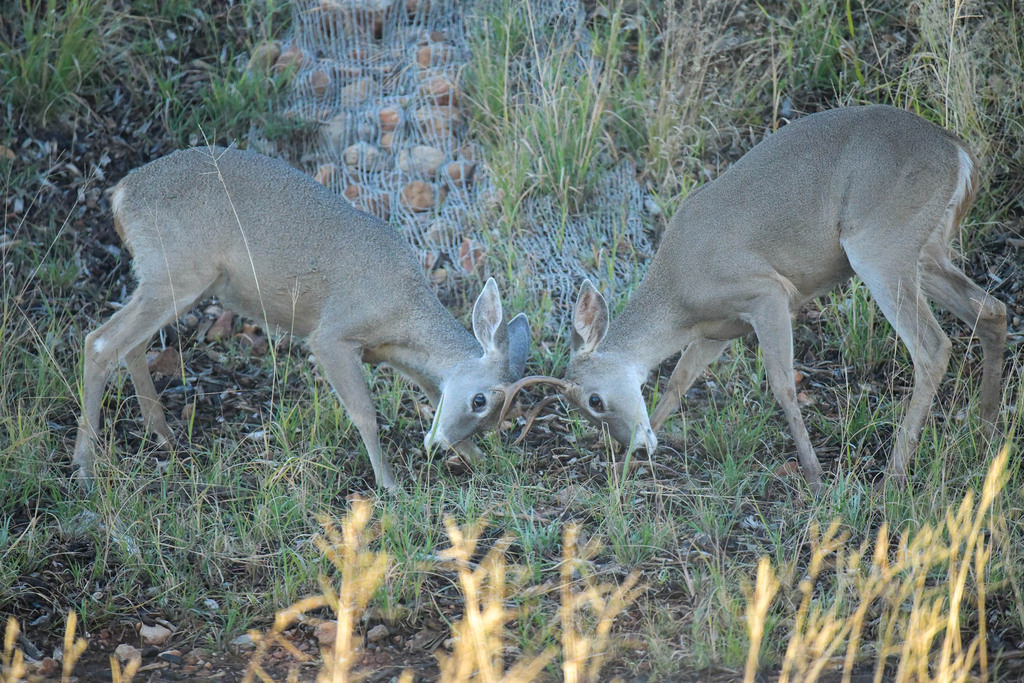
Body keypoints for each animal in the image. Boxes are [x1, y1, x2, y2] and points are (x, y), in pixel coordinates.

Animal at [73, 145, 532, 490]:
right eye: (480, 400)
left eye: (495, 419)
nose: (438, 447)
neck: (402, 314)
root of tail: (121, 193)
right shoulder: (331, 336)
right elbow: (365, 413)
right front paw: (390, 485)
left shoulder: (393, 355)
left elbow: (434, 393)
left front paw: (479, 459)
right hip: (176, 272)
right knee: (100, 342)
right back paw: (84, 468)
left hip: (177, 281)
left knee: (131, 345)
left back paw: (163, 435)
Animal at [501, 105, 1006, 491]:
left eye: (594, 401)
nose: (635, 444)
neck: (679, 295)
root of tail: (960, 152)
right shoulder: (719, 330)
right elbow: (676, 383)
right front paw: (633, 461)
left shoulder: (767, 292)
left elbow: (781, 383)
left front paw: (814, 475)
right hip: (927, 251)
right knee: (991, 310)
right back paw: (986, 434)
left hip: (881, 246)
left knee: (934, 346)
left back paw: (893, 477)